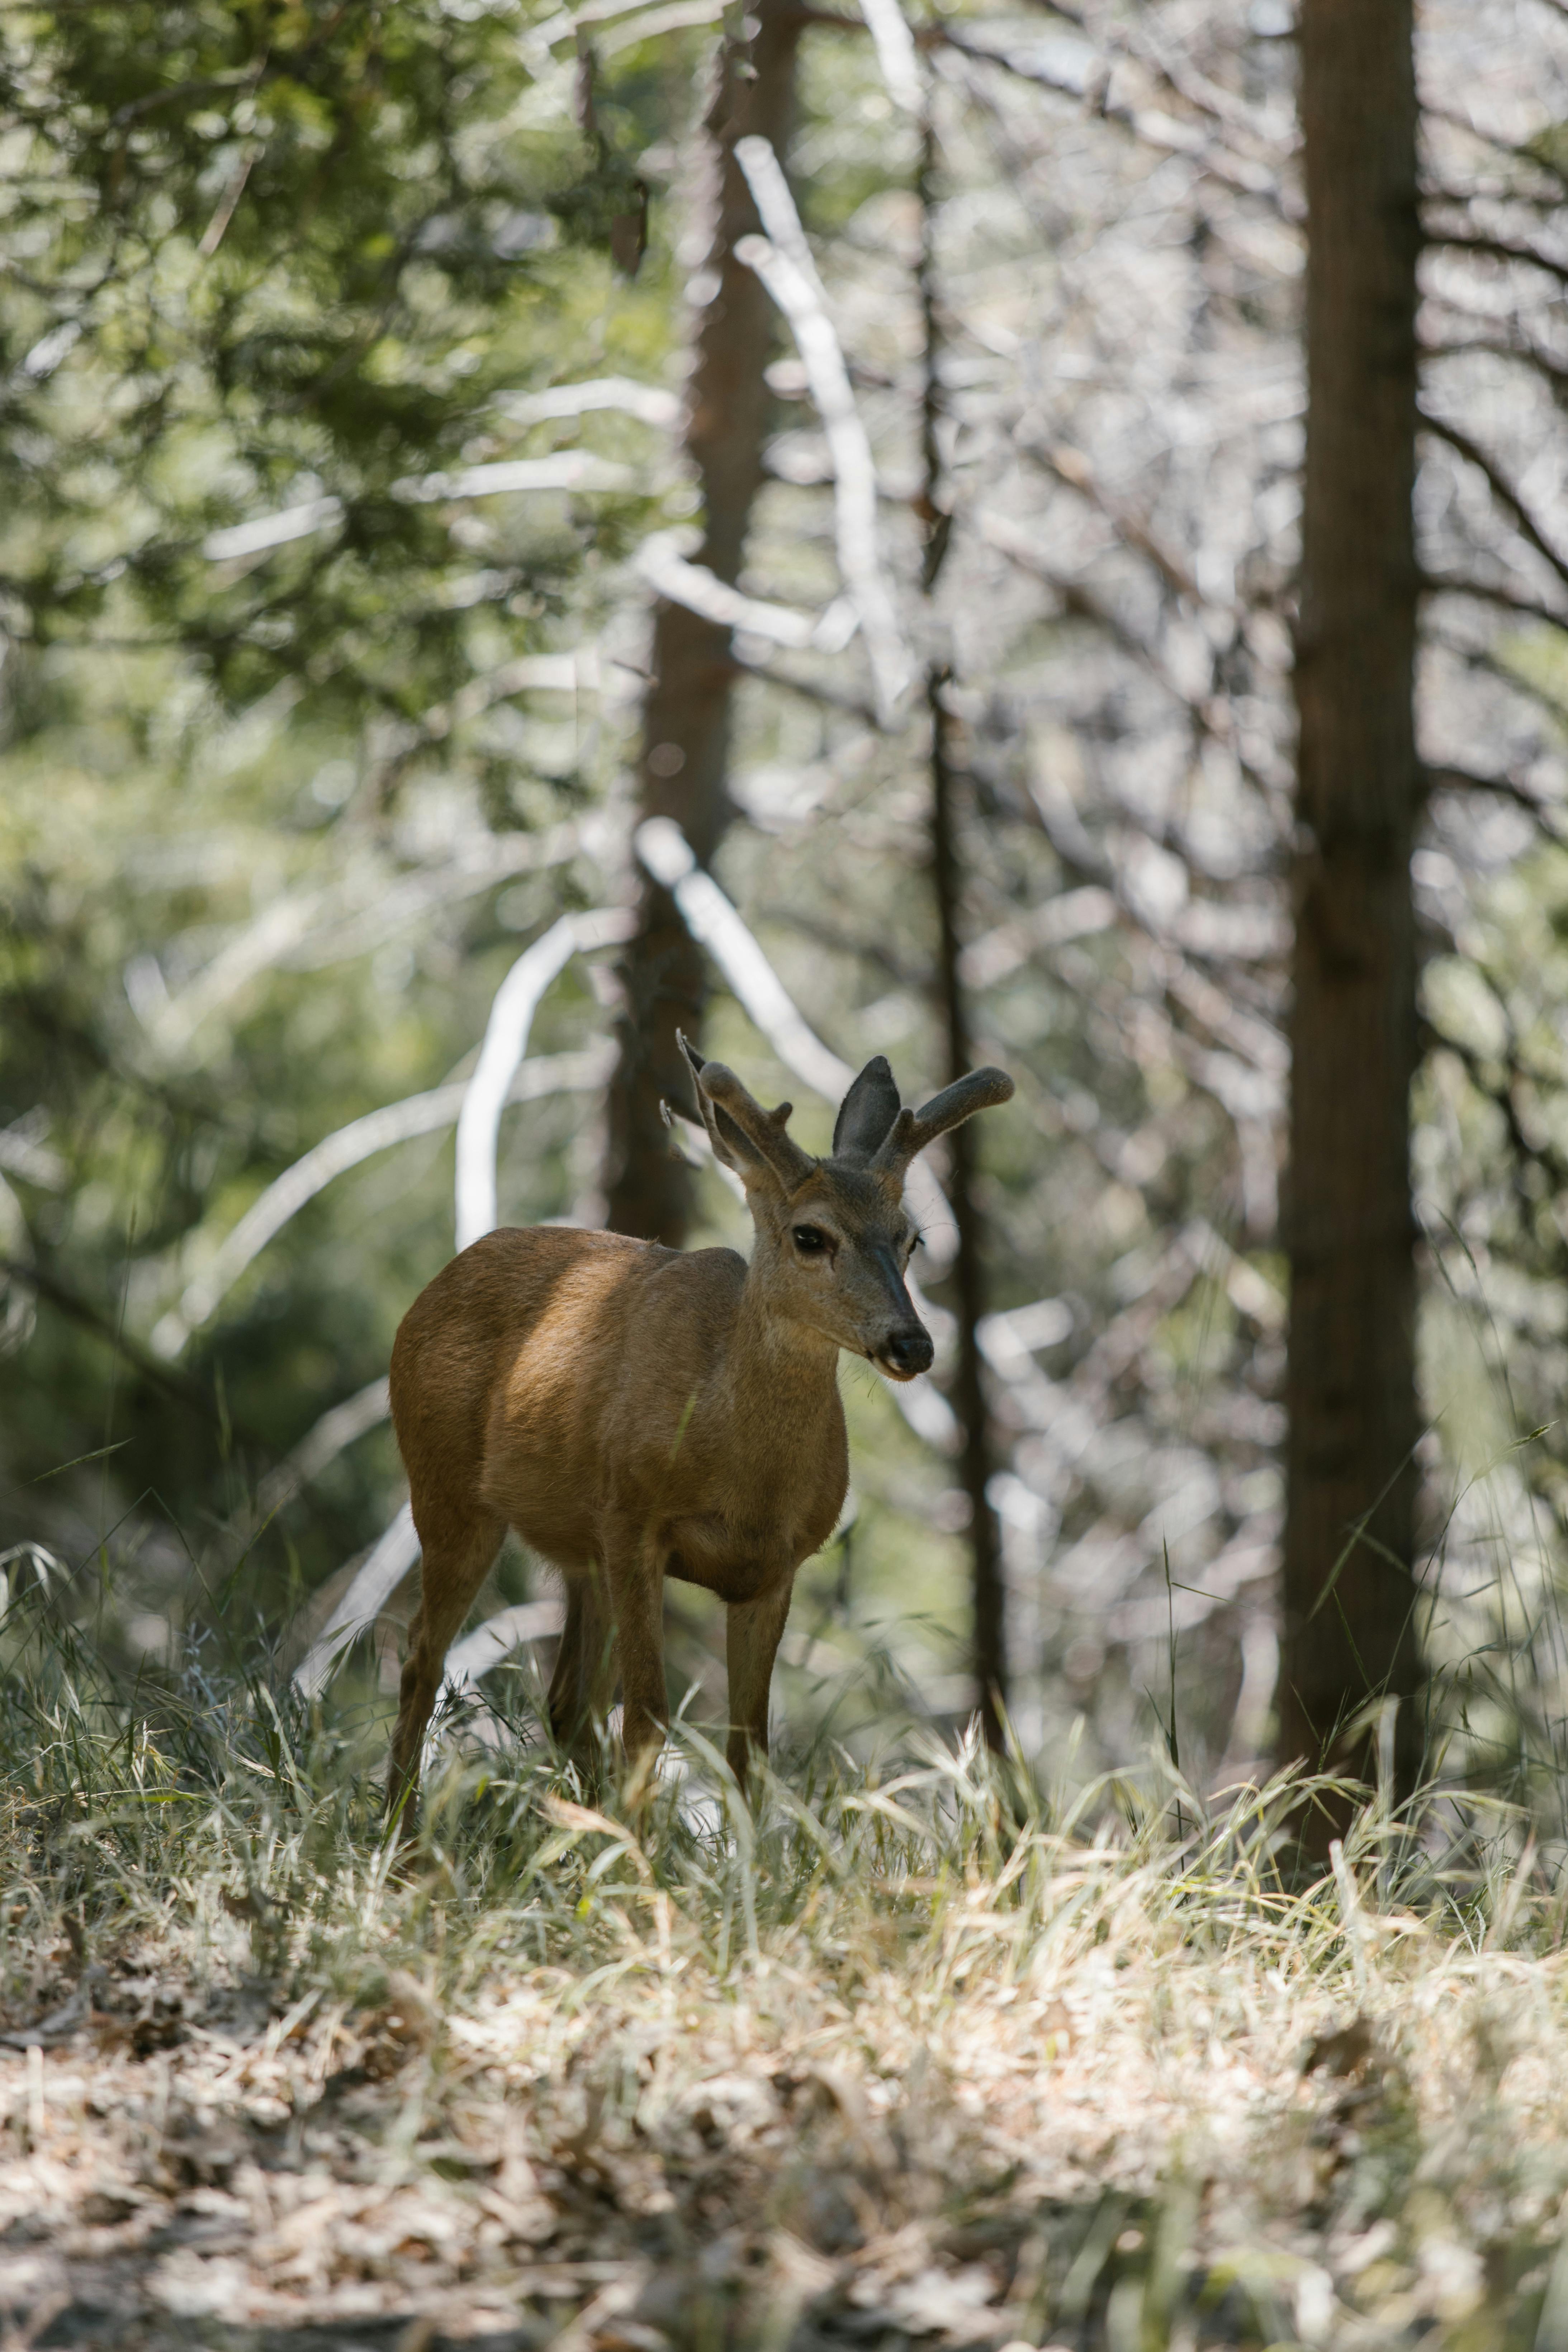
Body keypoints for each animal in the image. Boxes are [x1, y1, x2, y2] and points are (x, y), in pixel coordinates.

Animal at [385, 1038, 1013, 1825]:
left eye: (911, 1240)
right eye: (810, 1235)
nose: (913, 1345)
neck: (739, 1475)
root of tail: (429, 1290)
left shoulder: (776, 1566)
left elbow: (750, 1747)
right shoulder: (632, 1523)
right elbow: (647, 1720)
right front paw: (644, 1855)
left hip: (576, 1548)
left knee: (564, 1703)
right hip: (445, 1489)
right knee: (421, 1661)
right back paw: (401, 1835)